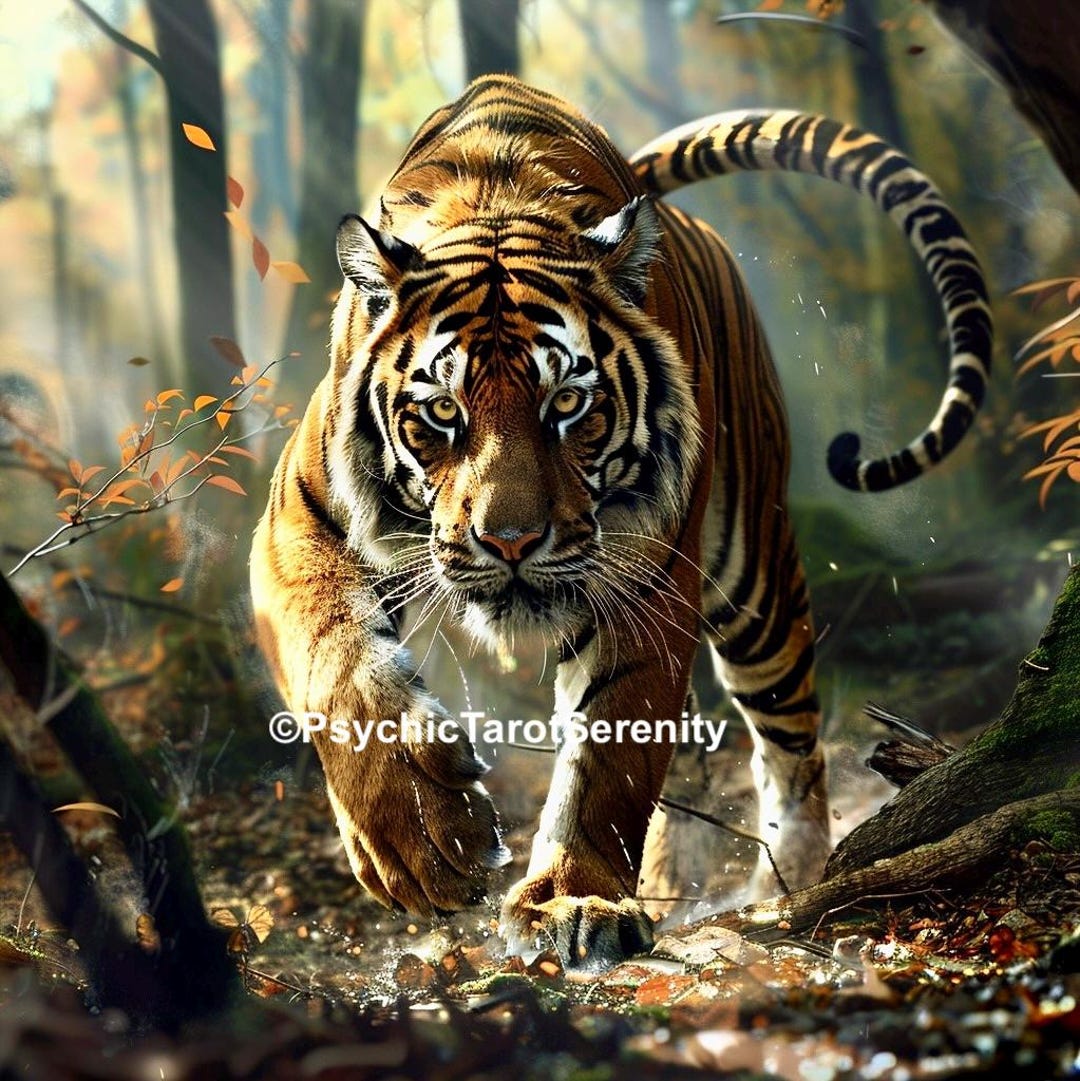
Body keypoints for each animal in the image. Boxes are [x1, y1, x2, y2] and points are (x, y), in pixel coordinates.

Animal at [250, 75, 992, 971]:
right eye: (442, 411)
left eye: (568, 402)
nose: (510, 541)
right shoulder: (294, 522)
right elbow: (338, 669)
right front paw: (425, 843)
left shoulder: (645, 576)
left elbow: (609, 754)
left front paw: (573, 898)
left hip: (753, 580)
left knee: (792, 740)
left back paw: (788, 885)